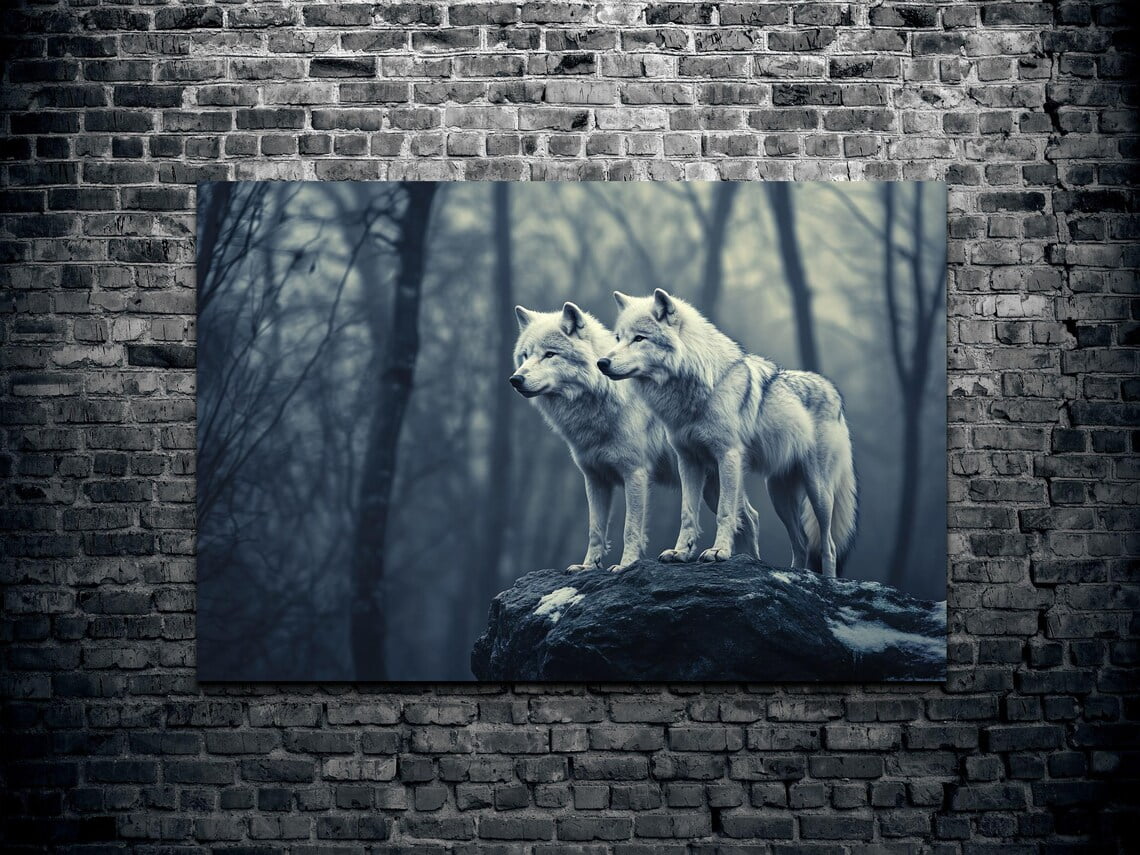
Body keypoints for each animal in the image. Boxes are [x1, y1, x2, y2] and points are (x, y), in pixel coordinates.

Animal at [511, 301, 760, 573]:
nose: (515, 379)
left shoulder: (635, 474)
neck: (604, 396)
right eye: (525, 355)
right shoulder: (595, 478)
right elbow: (595, 530)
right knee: (749, 518)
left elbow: (630, 528)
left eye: (549, 354)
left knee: (745, 517)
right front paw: (588, 567)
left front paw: (626, 565)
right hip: (710, 487)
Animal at [598, 288, 858, 578]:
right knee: (800, 543)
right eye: (618, 338)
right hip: (778, 494)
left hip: (818, 491)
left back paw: (829, 580)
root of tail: (833, 391)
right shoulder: (688, 461)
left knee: (828, 545)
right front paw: (680, 553)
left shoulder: (728, 456)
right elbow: (687, 513)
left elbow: (725, 512)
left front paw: (719, 551)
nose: (602, 362)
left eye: (639, 338)